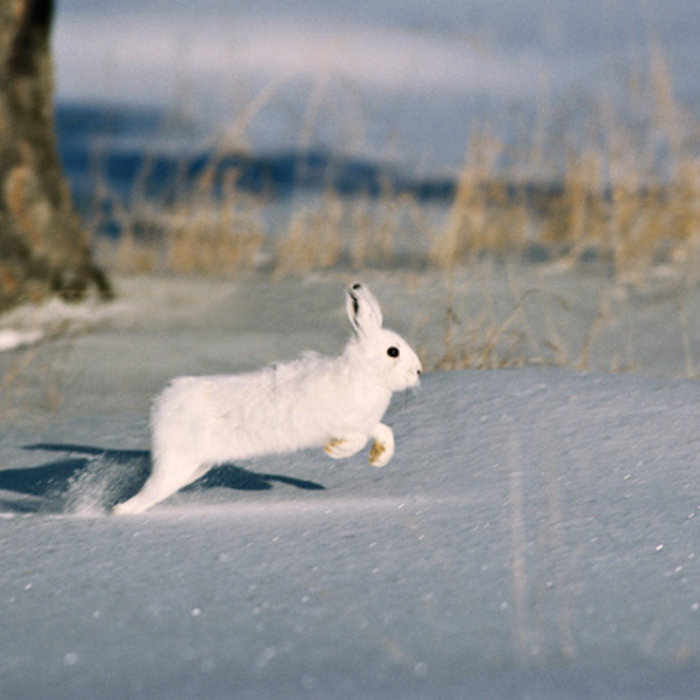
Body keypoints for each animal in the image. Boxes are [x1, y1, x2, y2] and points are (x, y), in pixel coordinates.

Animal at [113, 283, 422, 514]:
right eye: (393, 352)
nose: (419, 371)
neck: (363, 374)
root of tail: (161, 405)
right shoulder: (339, 424)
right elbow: (354, 440)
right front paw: (335, 452)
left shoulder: (366, 423)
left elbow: (385, 432)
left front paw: (378, 460)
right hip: (177, 464)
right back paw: (119, 513)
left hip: (195, 467)